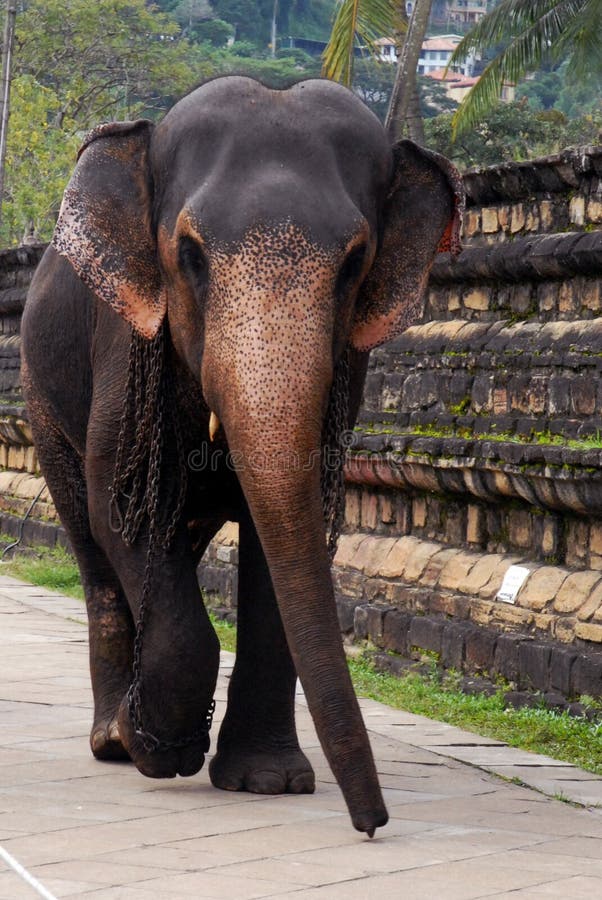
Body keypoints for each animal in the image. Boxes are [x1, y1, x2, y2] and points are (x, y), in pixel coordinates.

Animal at [21, 75, 463, 837]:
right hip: (42, 400)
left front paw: (269, 783)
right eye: (190, 254)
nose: (371, 824)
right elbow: (126, 517)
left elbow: (285, 534)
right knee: (93, 546)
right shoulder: (124, 355)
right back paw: (114, 740)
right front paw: (162, 750)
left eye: (355, 262)